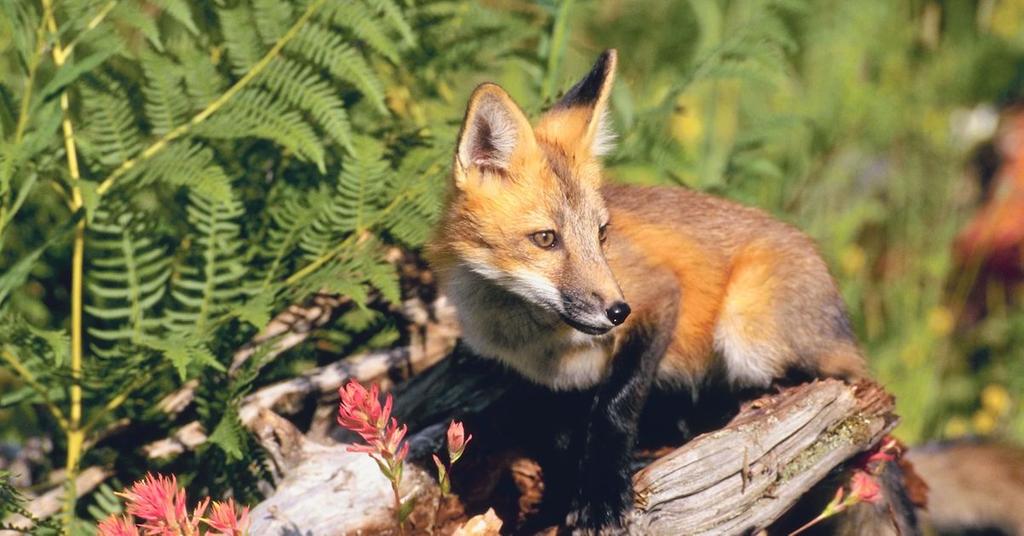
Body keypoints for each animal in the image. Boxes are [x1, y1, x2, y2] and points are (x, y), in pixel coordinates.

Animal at [427, 49, 877, 533]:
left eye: (602, 234)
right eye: (546, 239)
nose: (616, 311)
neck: (534, 340)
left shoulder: (657, 295)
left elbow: (615, 405)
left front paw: (603, 494)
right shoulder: (546, 382)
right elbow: (563, 439)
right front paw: (565, 496)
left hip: (746, 330)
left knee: (779, 388)